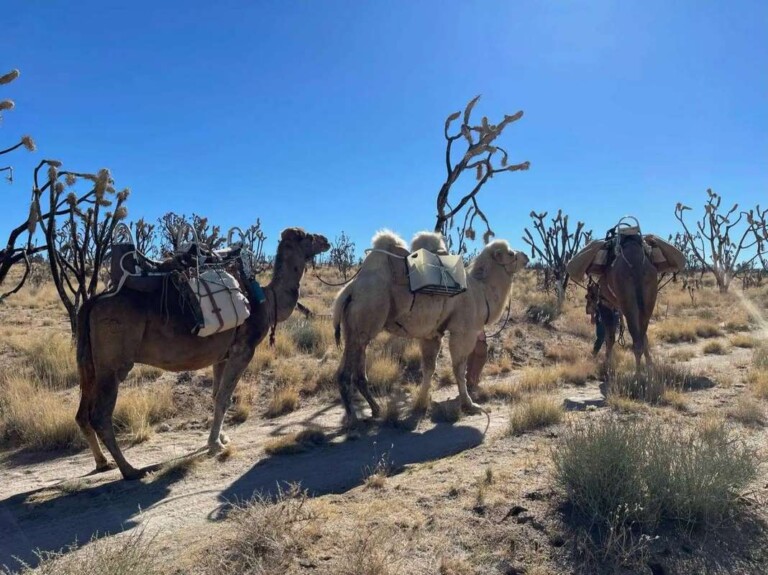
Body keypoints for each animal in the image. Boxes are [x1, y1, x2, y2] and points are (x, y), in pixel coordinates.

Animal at [76, 228, 330, 480]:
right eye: (307, 237)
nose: (325, 240)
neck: (267, 301)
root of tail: (93, 302)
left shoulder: (222, 355)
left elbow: (216, 394)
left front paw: (222, 437)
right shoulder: (243, 350)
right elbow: (224, 397)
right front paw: (215, 445)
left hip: (89, 363)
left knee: (82, 413)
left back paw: (103, 462)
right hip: (113, 364)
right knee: (100, 415)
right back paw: (130, 469)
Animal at [332, 230, 528, 424]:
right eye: (511, 254)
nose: (525, 256)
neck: (481, 291)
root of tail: (349, 290)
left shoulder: (432, 335)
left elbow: (428, 369)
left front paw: (421, 403)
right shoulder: (463, 332)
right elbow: (459, 368)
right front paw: (470, 404)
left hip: (354, 331)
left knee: (357, 372)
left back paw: (375, 409)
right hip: (366, 317)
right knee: (345, 374)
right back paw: (353, 420)